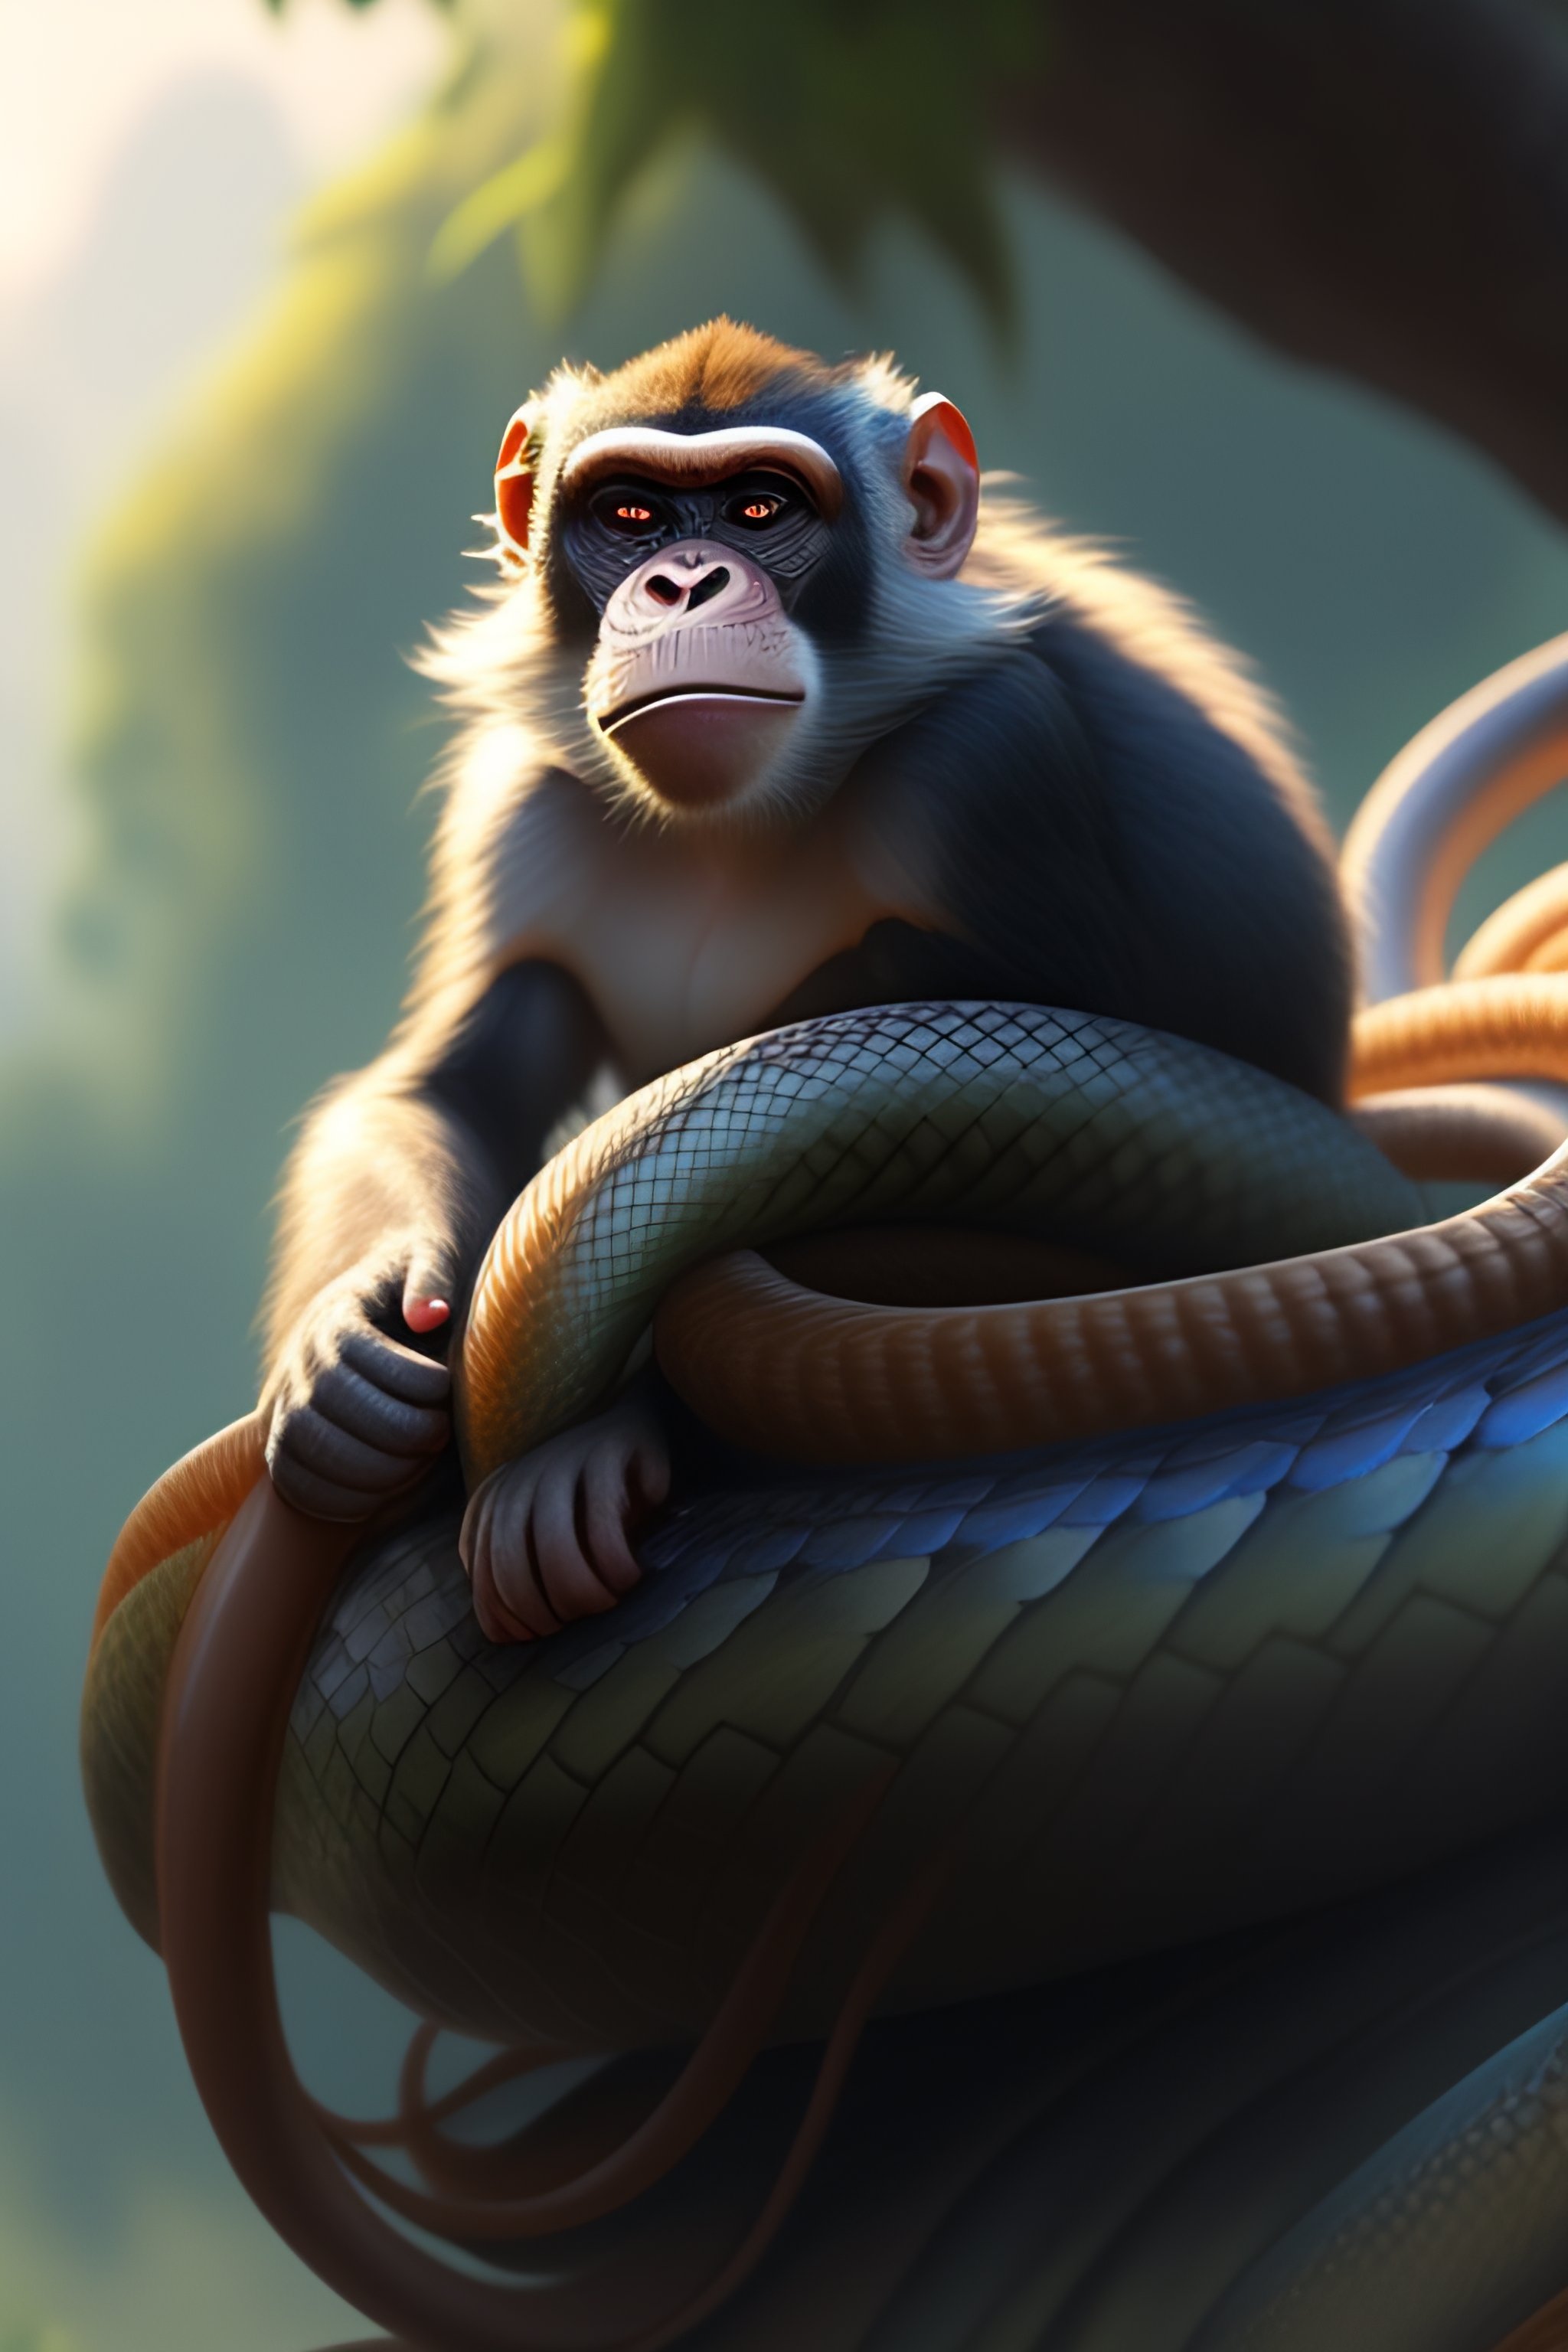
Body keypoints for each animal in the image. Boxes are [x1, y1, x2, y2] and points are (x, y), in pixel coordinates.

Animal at [259, 318, 1351, 1646]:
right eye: (628, 514)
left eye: (761, 507)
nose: (682, 583)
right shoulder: (519, 800)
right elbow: (456, 1083)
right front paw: (345, 1351)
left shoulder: (990, 757)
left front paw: (605, 1434)